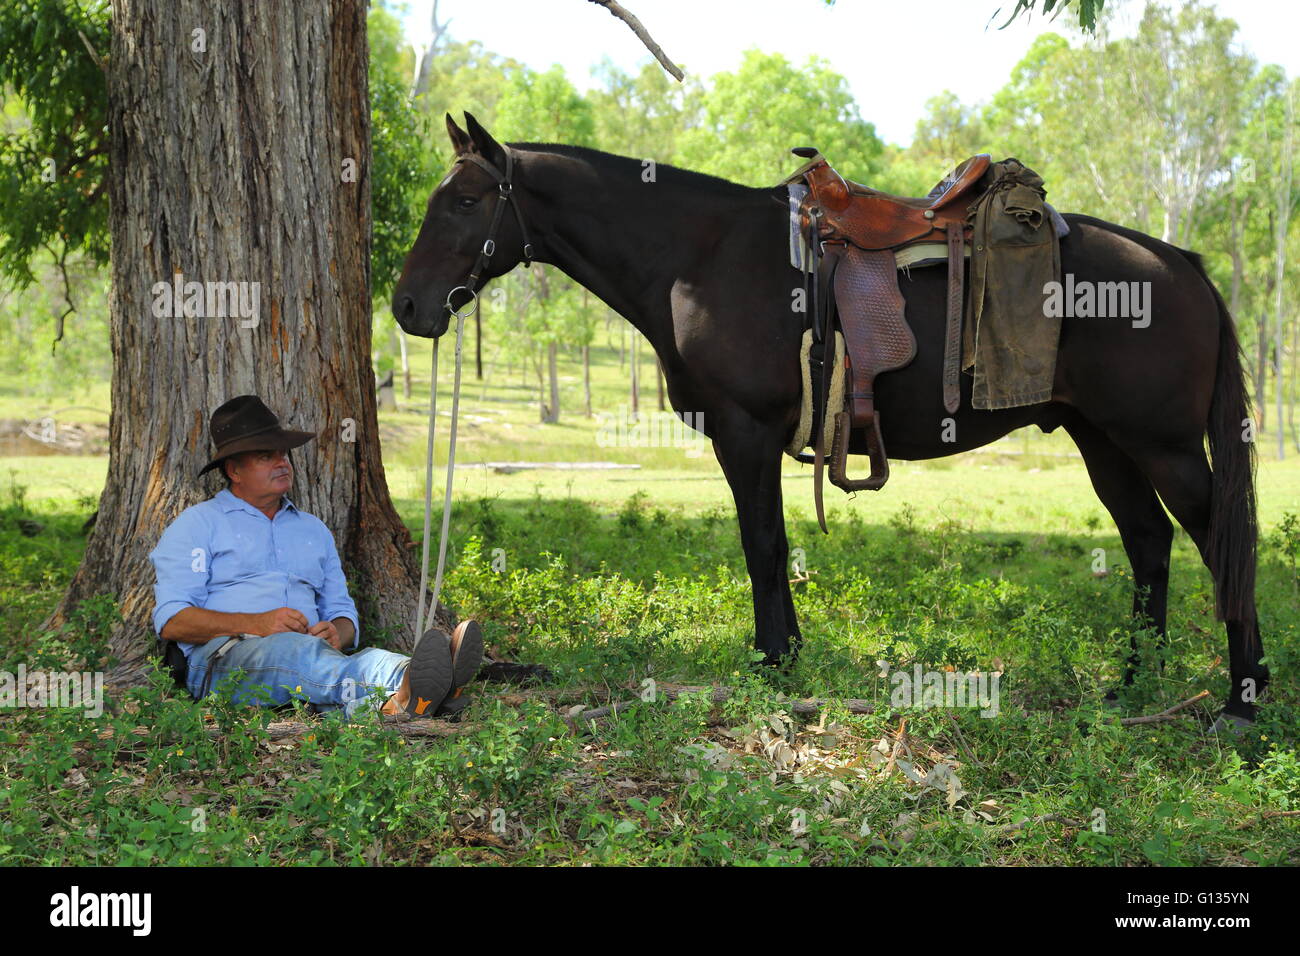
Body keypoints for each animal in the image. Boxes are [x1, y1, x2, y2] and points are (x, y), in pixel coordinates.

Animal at [392, 112, 1268, 730]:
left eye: (464, 201)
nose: (405, 308)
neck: (697, 258)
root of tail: (1182, 264)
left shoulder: (745, 435)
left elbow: (764, 547)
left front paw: (774, 663)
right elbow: (773, 547)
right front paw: (788, 659)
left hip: (1163, 447)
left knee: (1215, 541)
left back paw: (1243, 698)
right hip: (1104, 441)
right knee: (1148, 541)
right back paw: (1133, 683)